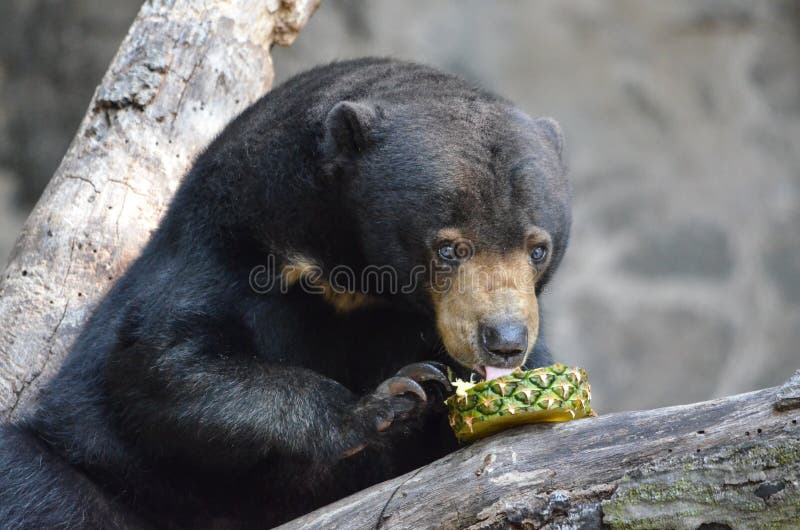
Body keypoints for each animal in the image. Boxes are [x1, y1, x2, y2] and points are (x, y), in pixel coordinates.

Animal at [0, 57, 571, 528]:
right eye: (449, 248)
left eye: (538, 249)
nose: (503, 341)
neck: (350, 273)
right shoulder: (223, 243)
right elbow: (162, 365)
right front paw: (395, 399)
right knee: (38, 485)